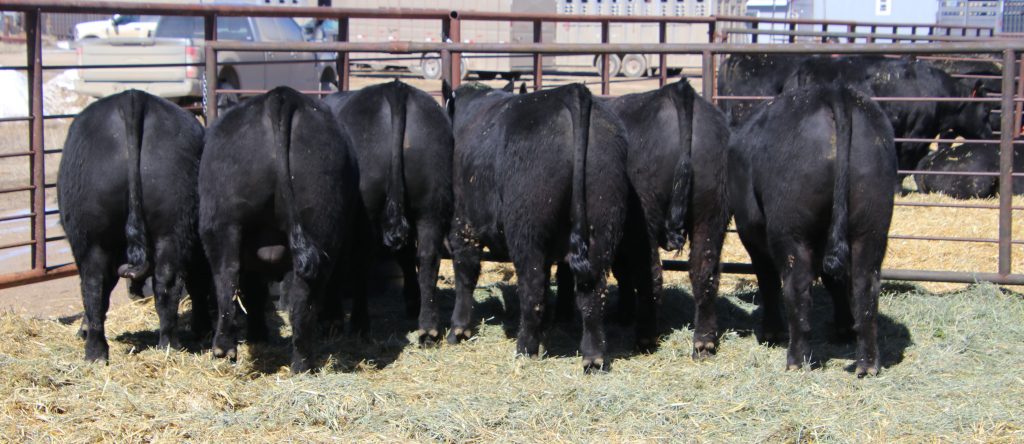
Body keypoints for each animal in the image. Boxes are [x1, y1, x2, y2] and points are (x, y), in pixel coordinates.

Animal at [199, 86, 361, 372]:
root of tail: (281, 96)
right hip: (316, 226)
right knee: (298, 295)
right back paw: (301, 362)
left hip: (223, 225)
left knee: (228, 278)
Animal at [322, 80, 453, 345]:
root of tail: (396, 89)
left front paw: (332, 319)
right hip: (432, 205)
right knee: (426, 256)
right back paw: (428, 327)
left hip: (367, 210)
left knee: (362, 259)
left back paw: (360, 324)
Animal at [443, 81, 629, 372]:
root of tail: (573, 91)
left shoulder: (463, 224)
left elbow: (465, 275)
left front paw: (458, 330)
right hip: (602, 221)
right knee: (592, 293)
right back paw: (593, 356)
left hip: (527, 230)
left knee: (532, 289)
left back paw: (525, 348)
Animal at [728, 84, 897, 376]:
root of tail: (835, 92)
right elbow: (836, 281)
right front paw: (843, 328)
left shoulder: (751, 233)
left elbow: (767, 280)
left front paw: (772, 333)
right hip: (871, 227)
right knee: (865, 286)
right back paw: (867, 363)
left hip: (791, 231)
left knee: (796, 287)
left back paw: (796, 359)